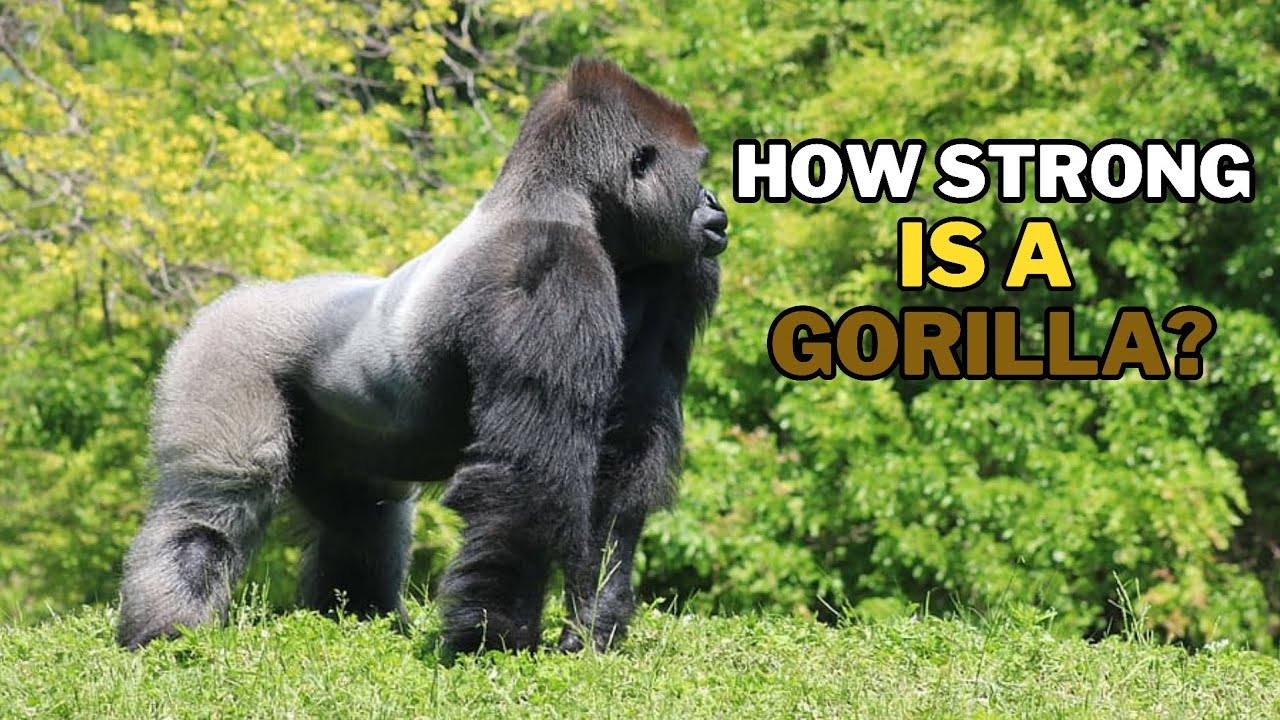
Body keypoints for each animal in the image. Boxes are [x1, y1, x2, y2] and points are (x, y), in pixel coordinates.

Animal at [116, 58, 727, 653]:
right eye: (697, 170)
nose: (715, 200)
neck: (569, 200)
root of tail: (226, 301)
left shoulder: (668, 270)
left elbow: (620, 464)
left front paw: (593, 627)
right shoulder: (549, 265)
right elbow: (527, 481)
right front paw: (496, 639)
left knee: (363, 520)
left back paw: (359, 616)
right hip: (221, 352)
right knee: (215, 504)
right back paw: (166, 629)